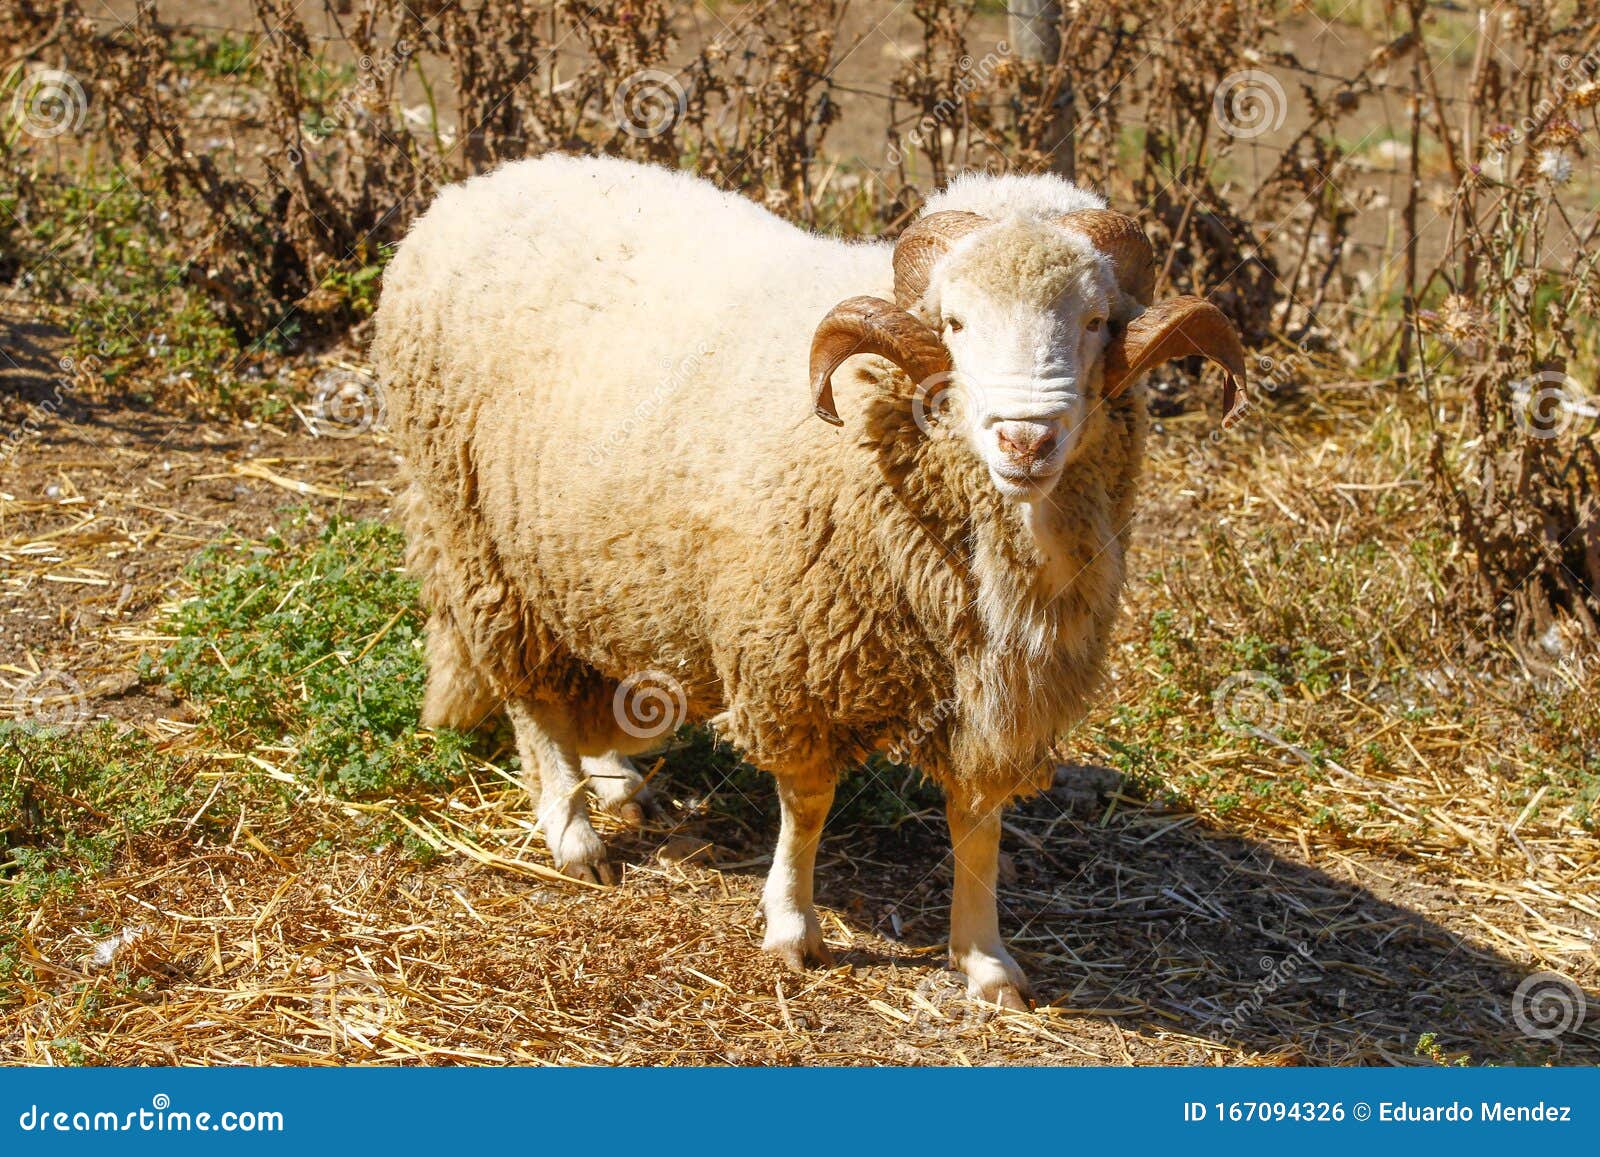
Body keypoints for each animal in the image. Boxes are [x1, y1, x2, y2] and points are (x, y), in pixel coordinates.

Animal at [374, 154, 1245, 1008]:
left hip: (587, 562)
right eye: (955, 324)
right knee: (530, 696)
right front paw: (792, 925)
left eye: (1096, 321)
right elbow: (809, 805)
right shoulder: (797, 659)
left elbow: (978, 819)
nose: (1025, 439)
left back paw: (616, 777)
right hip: (477, 536)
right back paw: (572, 828)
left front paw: (985, 958)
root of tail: (473, 188)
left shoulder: (996, 686)